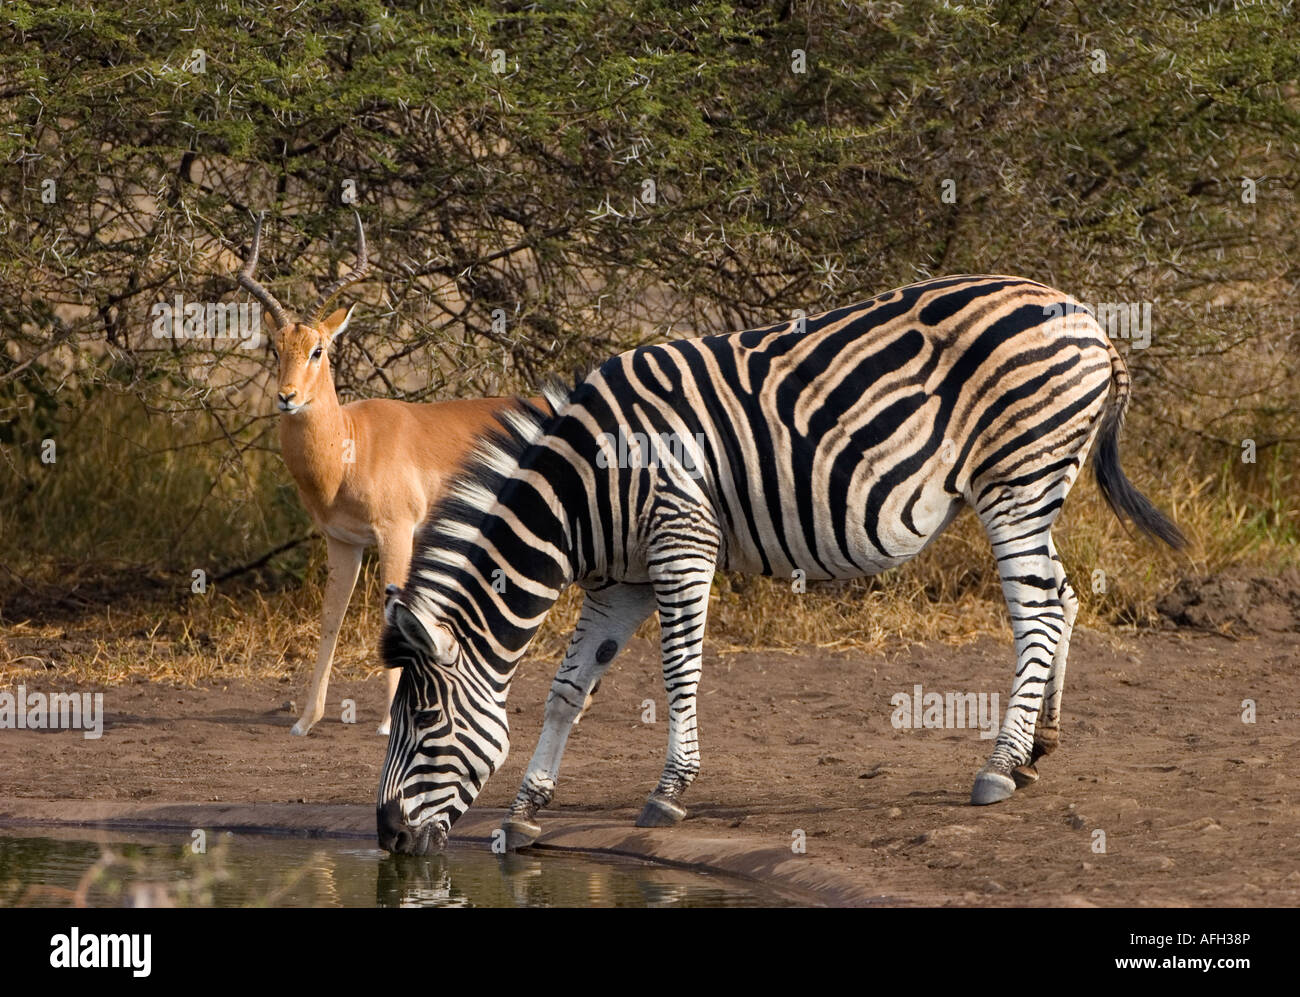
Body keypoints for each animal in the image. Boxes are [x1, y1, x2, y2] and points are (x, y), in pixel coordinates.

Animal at [236, 210, 534, 736]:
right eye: (276, 348)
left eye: (318, 349)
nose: (287, 397)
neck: (349, 449)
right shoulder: (344, 541)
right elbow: (331, 618)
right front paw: (305, 720)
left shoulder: (396, 534)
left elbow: (390, 613)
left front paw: (387, 720)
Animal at [375, 273, 1184, 855]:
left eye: (424, 721)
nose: (386, 837)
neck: (582, 490)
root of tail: (1091, 322)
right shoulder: (622, 580)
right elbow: (569, 689)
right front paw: (525, 809)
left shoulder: (681, 541)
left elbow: (678, 673)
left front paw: (669, 790)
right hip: (1038, 485)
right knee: (1065, 596)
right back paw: (1036, 748)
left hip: (1016, 478)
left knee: (1039, 607)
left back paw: (997, 765)